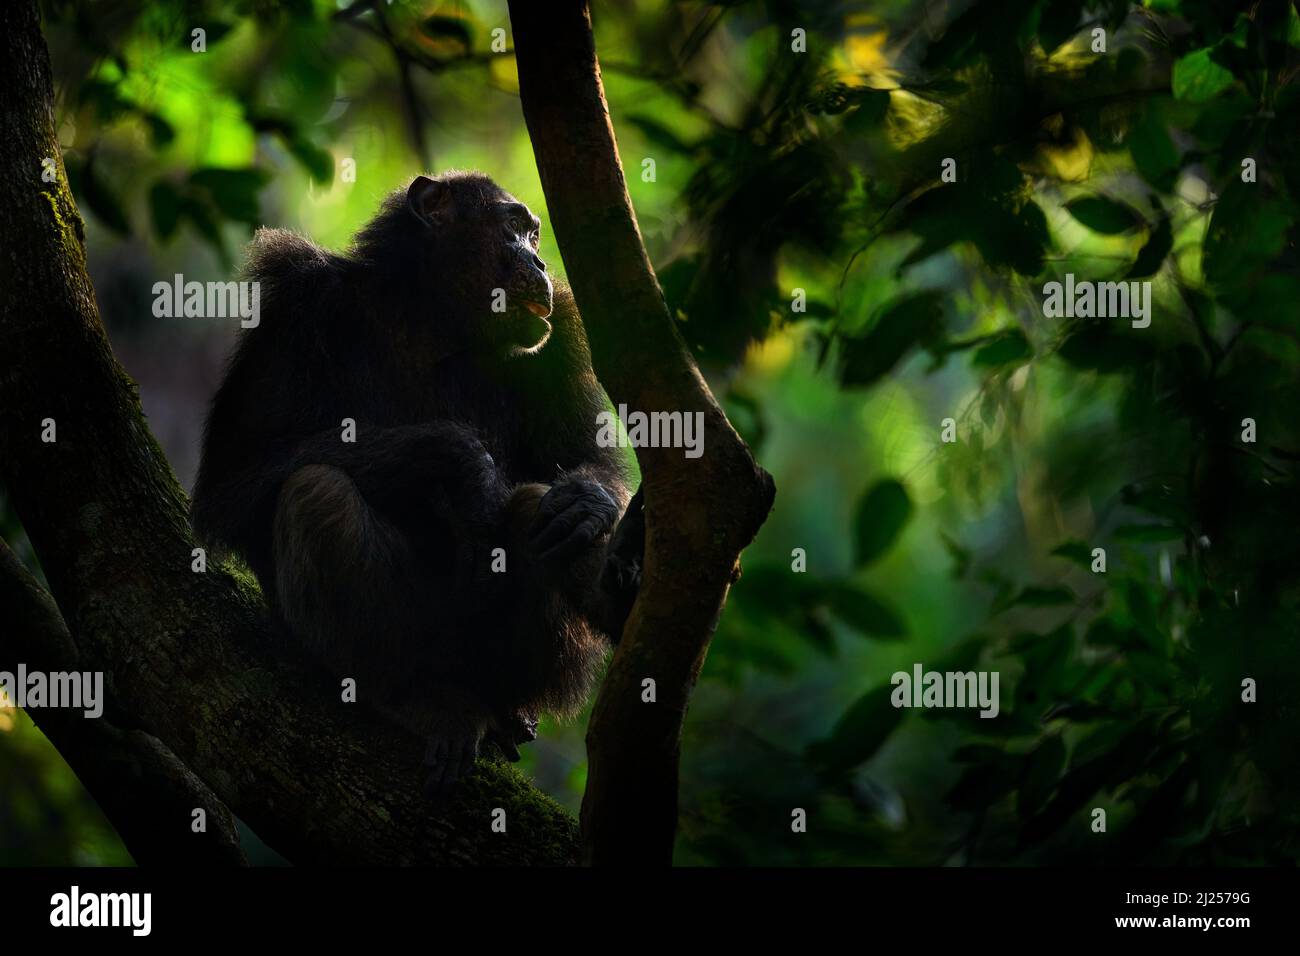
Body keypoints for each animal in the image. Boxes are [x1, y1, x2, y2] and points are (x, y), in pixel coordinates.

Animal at [191, 171, 643, 796]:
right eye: (513, 226)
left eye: (533, 233)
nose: (538, 258)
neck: (431, 316)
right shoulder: (295, 302)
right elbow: (236, 476)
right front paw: (460, 462)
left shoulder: (565, 339)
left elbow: (585, 460)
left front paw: (587, 502)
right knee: (315, 493)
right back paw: (411, 699)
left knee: (538, 509)